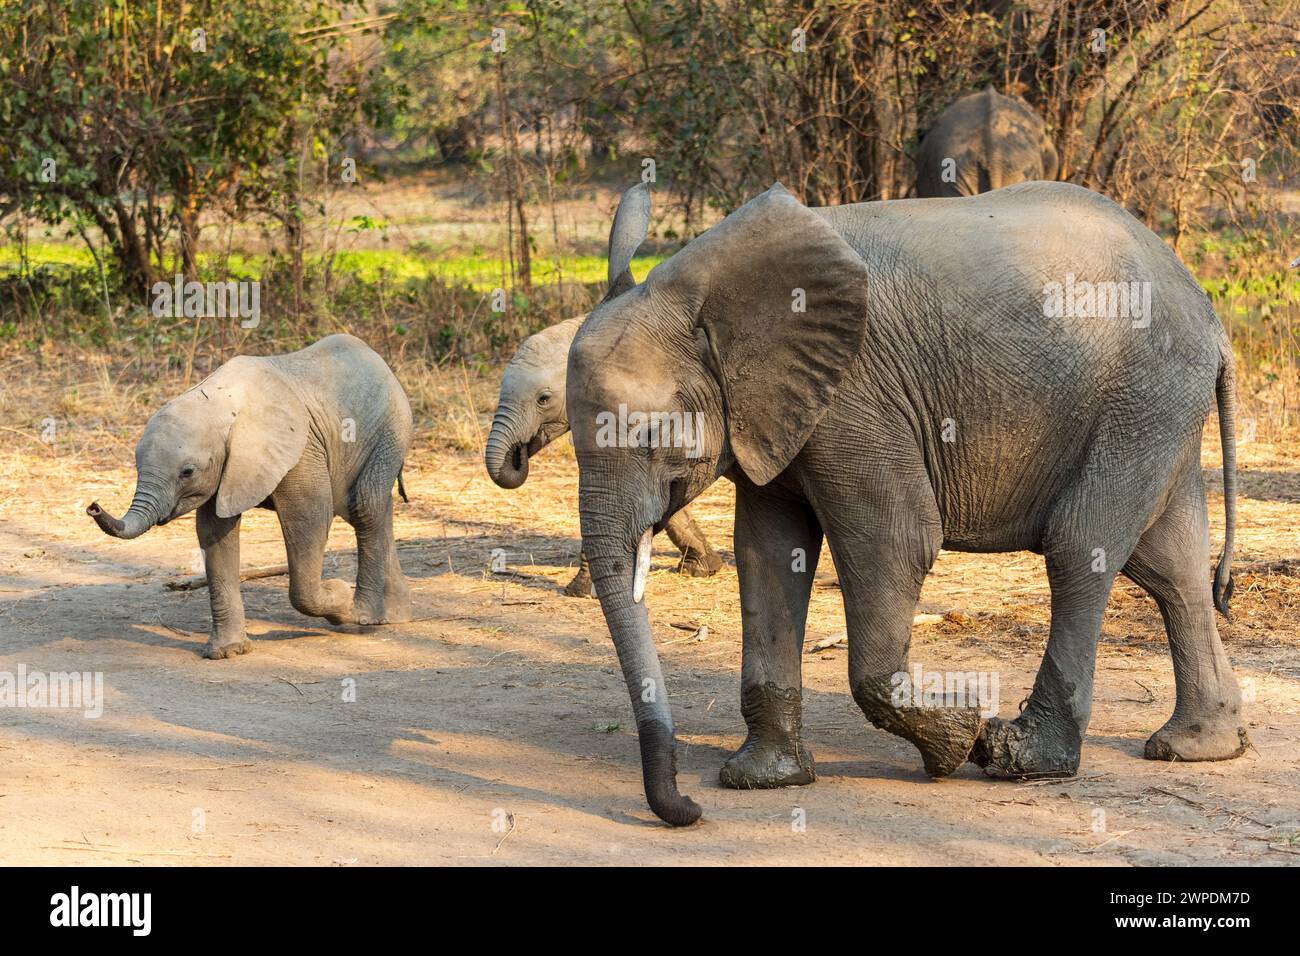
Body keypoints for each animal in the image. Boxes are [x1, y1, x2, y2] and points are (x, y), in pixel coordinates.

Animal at [87, 333, 413, 659]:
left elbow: (309, 520)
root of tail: (378, 359)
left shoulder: (301, 450)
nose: (93, 506)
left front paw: (341, 596)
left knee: (365, 506)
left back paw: (365, 615)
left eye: (187, 472)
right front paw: (227, 652)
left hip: (390, 428)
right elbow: (214, 534)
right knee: (372, 509)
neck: (220, 402)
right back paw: (393, 615)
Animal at [566, 180, 1245, 826]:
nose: (689, 808)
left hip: (1140, 397)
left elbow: (896, 541)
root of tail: (1210, 315)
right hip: (1157, 409)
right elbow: (768, 553)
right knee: (1172, 569)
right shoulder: (773, 414)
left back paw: (1019, 758)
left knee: (1079, 548)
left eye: (649, 436)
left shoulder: (854, 399)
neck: (703, 294)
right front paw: (764, 778)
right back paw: (1198, 747)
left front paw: (958, 742)